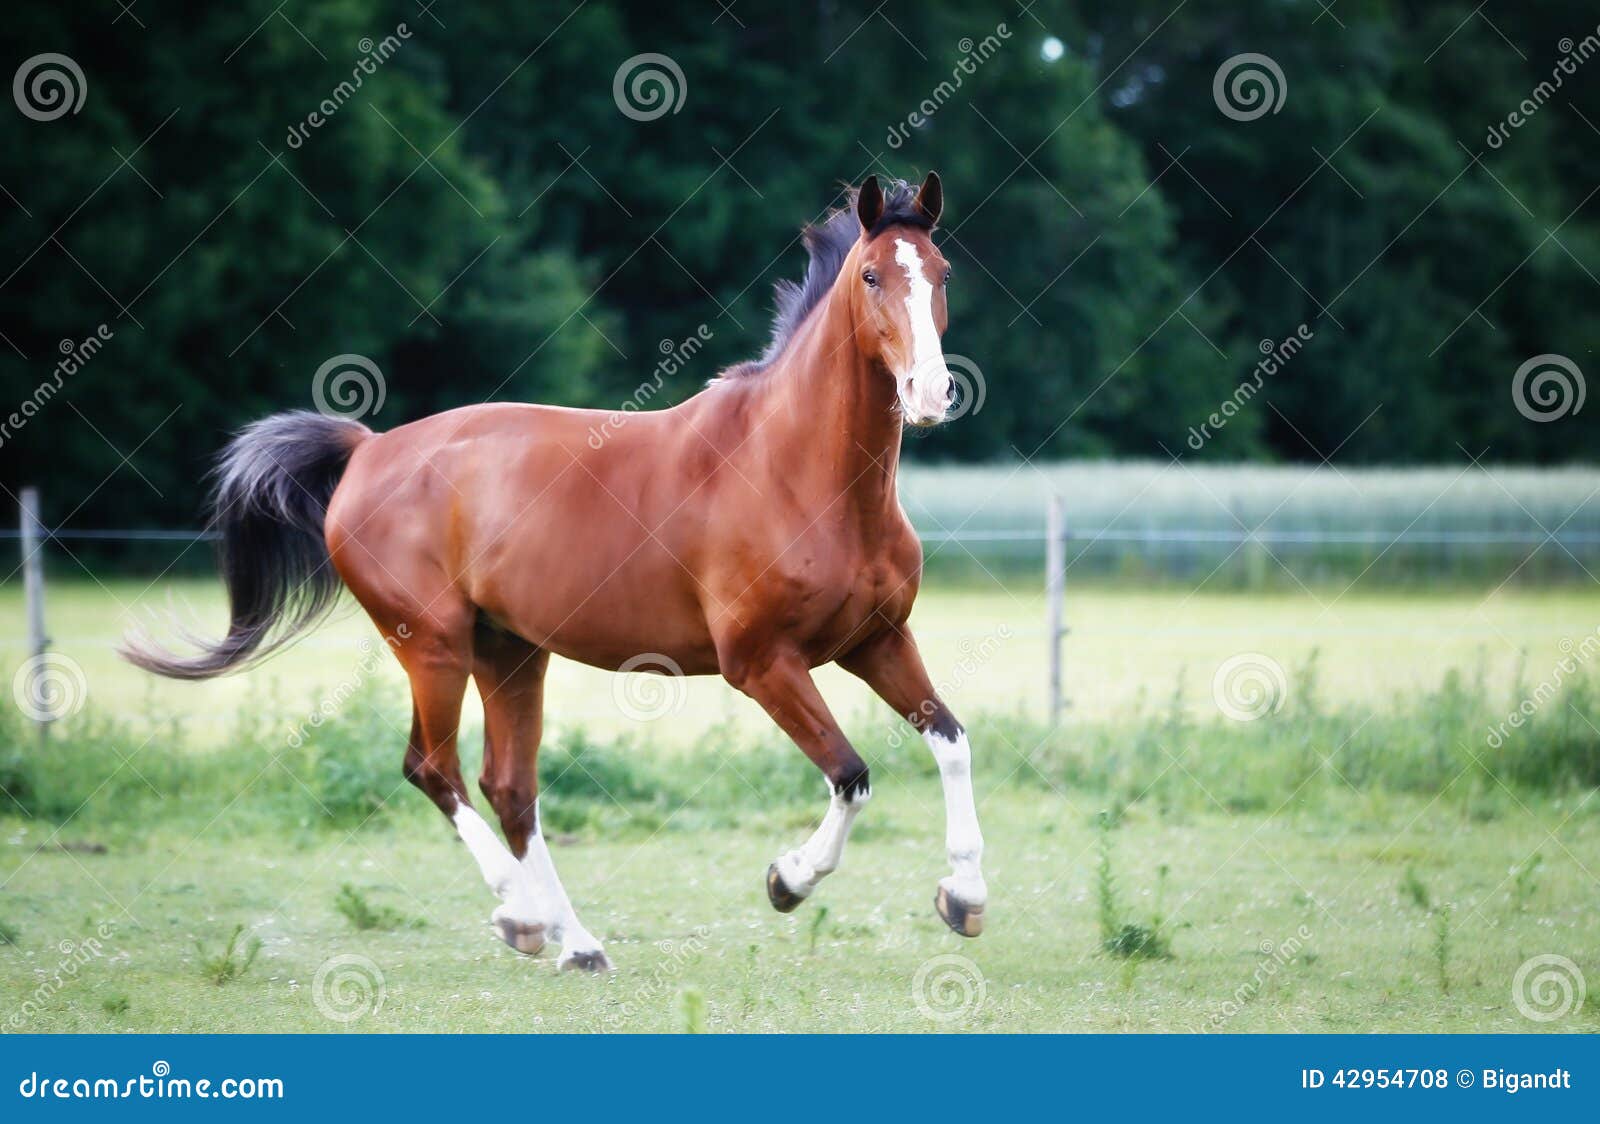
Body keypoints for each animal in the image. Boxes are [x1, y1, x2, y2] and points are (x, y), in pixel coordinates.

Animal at [124, 173, 988, 971]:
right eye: (871, 275)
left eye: (943, 271)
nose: (930, 392)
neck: (798, 474)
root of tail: (367, 450)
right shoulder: (762, 663)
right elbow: (851, 774)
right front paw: (788, 880)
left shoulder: (876, 641)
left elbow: (950, 739)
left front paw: (964, 898)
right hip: (432, 646)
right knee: (433, 768)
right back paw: (525, 917)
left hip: (509, 652)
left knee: (509, 787)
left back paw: (575, 941)